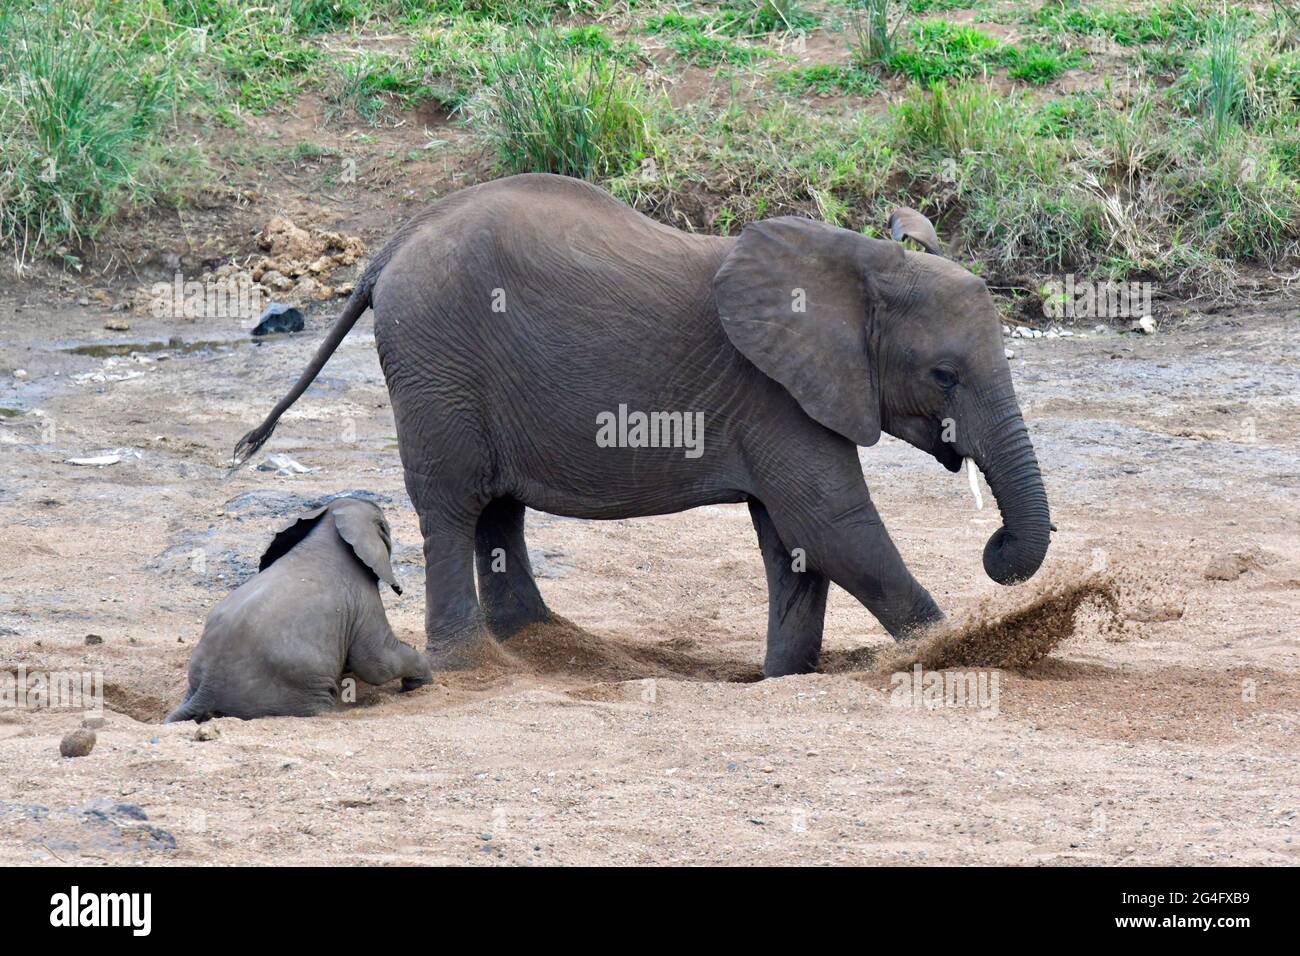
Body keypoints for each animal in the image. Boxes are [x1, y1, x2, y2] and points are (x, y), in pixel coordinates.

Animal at [165, 496, 431, 722]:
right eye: (385, 527)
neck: (328, 527)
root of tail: (206, 687)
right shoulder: (362, 598)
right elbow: (376, 661)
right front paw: (420, 681)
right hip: (295, 688)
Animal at [234, 173, 1051, 678]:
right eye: (944, 375)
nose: (995, 547)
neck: (861, 262)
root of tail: (390, 248)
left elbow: (795, 545)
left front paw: (782, 677)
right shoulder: (774, 394)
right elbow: (833, 527)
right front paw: (957, 650)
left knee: (498, 511)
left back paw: (539, 645)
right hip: (437, 358)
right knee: (454, 504)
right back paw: (473, 665)